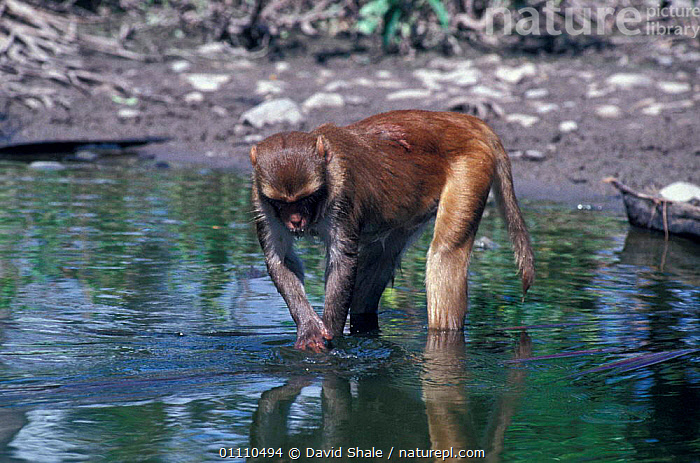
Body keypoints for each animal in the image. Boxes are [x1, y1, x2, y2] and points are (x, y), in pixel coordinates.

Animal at [250, 110, 534, 352]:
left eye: (306, 198)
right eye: (281, 203)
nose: (295, 221)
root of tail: (462, 120)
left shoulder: (342, 194)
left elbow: (343, 260)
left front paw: (331, 338)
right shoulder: (262, 203)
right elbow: (280, 260)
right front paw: (309, 327)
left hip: (471, 167)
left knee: (445, 255)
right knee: (379, 263)